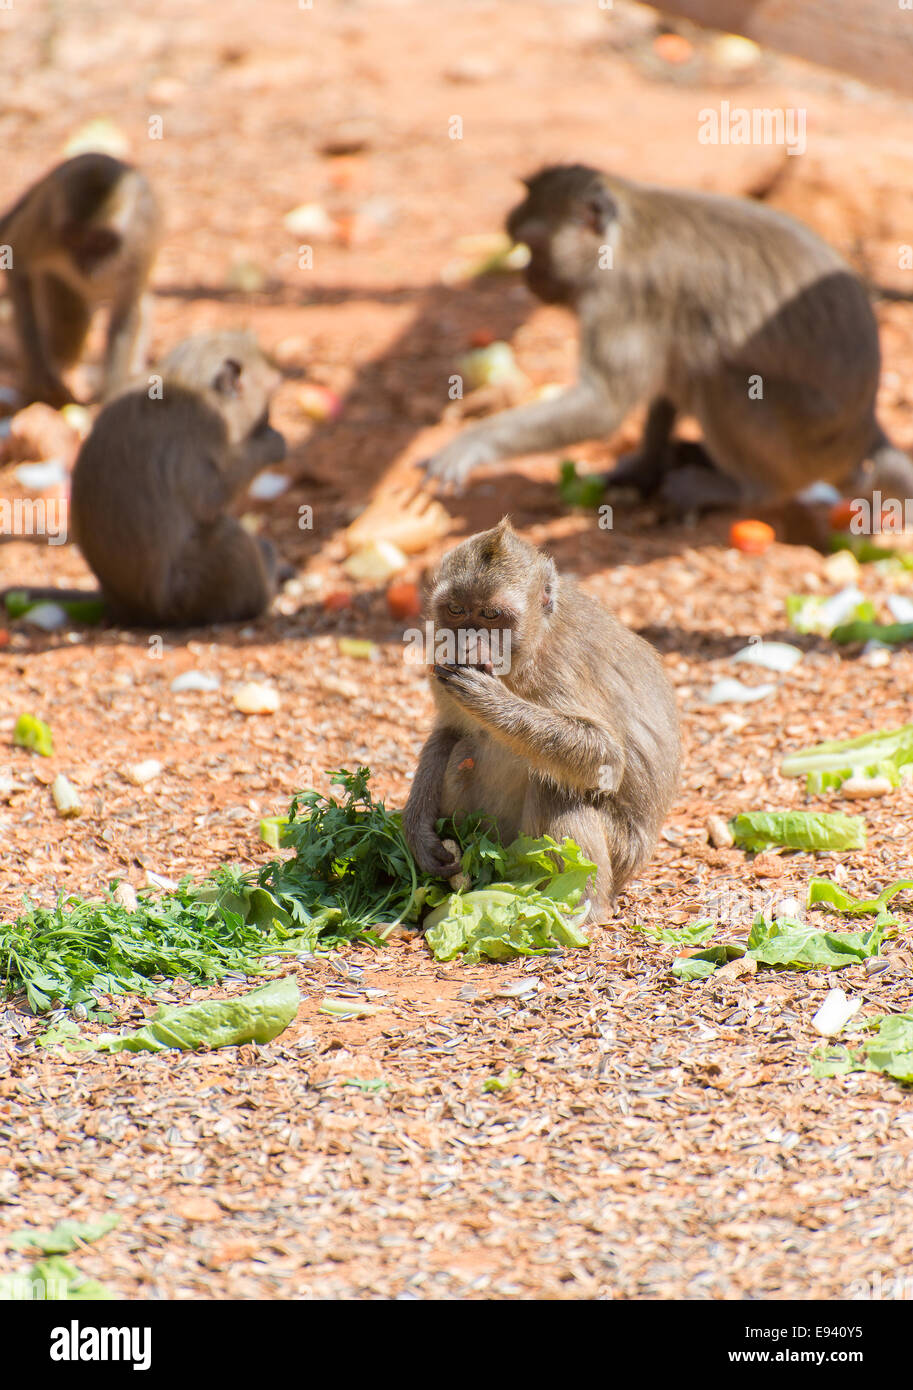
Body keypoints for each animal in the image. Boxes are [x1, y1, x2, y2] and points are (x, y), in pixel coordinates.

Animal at [0, 153, 160, 407]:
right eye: (74, 237)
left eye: (101, 241)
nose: (87, 264)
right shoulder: (45, 226)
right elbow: (17, 261)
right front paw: (38, 373)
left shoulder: (141, 241)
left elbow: (124, 315)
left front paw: (110, 395)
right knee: (69, 321)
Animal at [68, 331, 289, 626]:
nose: (270, 422)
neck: (188, 382)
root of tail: (129, 610)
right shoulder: (206, 426)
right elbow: (209, 499)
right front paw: (272, 446)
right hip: (187, 596)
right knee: (227, 537)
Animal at [403, 519, 680, 916]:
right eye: (456, 609)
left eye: (491, 615)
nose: (466, 645)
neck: (524, 655)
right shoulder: (439, 657)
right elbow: (449, 732)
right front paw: (418, 829)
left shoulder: (561, 667)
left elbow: (607, 755)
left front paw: (490, 700)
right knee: (463, 753)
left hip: (622, 850)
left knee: (557, 786)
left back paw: (578, 908)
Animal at [422, 164, 913, 513]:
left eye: (533, 246)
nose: (526, 276)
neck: (622, 236)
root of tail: (866, 432)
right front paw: (644, 468)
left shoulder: (623, 294)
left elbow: (604, 406)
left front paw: (472, 443)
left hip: (809, 444)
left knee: (720, 375)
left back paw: (747, 489)